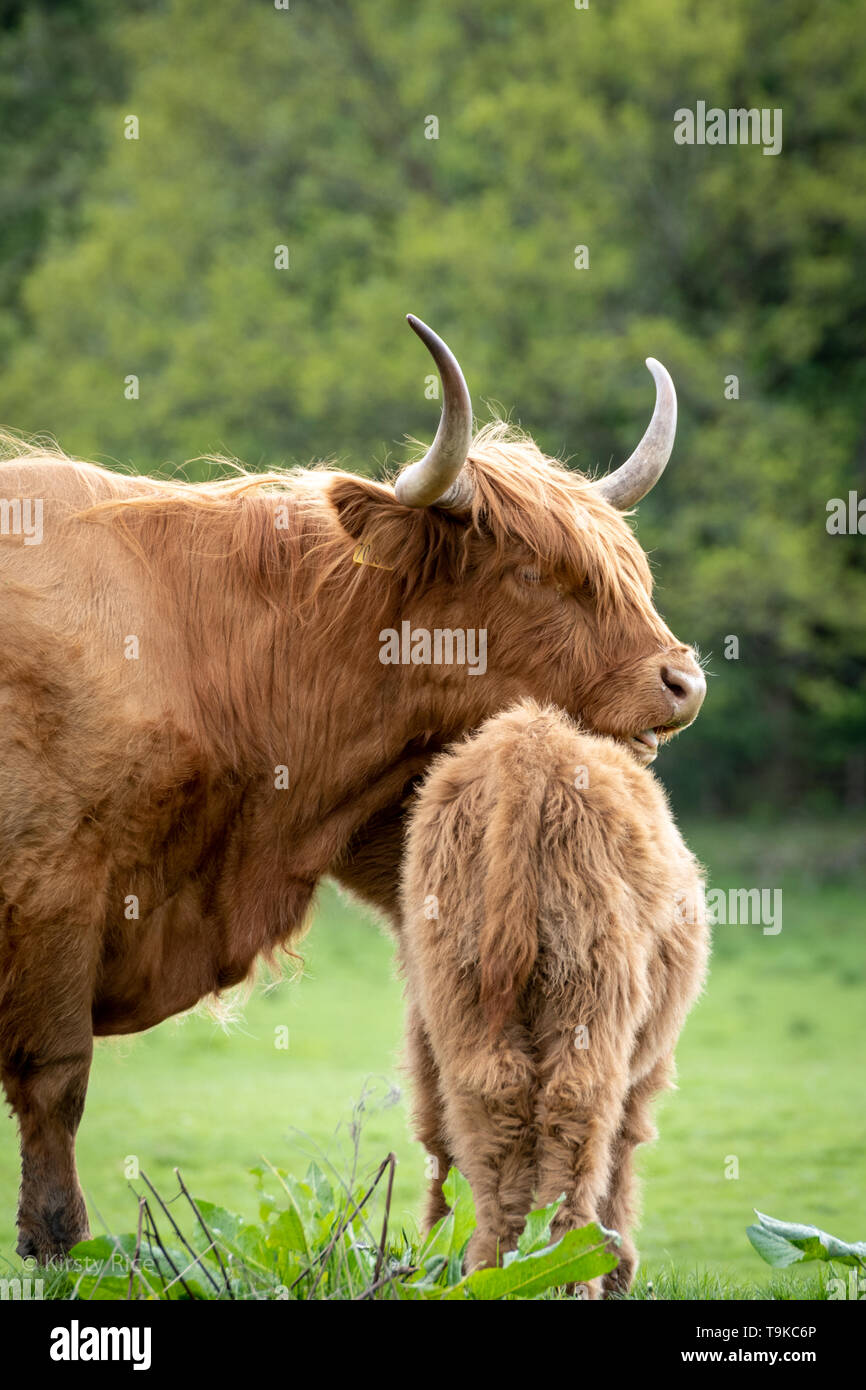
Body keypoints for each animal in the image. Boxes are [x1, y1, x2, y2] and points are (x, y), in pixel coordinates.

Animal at [398, 701, 710, 1296]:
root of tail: (529, 746)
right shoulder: (647, 1063)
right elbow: (626, 1146)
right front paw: (620, 1266)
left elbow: (437, 1139)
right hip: (589, 994)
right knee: (578, 1120)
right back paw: (570, 1269)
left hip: (463, 993)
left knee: (488, 1117)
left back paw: (491, 1268)